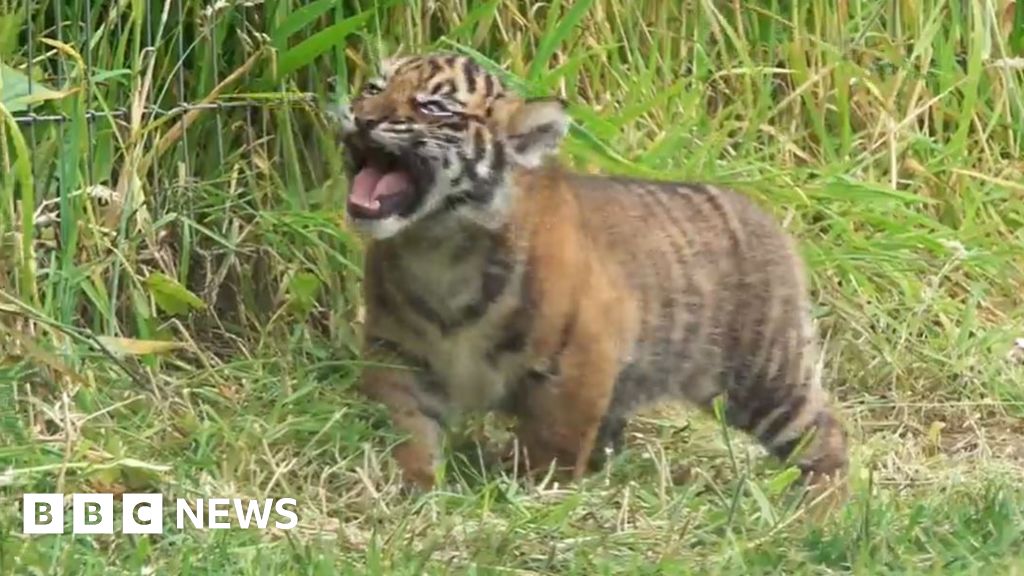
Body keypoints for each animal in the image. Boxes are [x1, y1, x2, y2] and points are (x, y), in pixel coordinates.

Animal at [327, 52, 849, 495]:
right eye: (374, 86)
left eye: (432, 107)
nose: (362, 116)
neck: (438, 245)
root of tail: (766, 216)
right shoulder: (397, 353)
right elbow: (406, 427)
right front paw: (412, 486)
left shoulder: (579, 355)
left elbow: (554, 440)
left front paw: (533, 493)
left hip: (765, 375)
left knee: (826, 434)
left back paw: (820, 511)